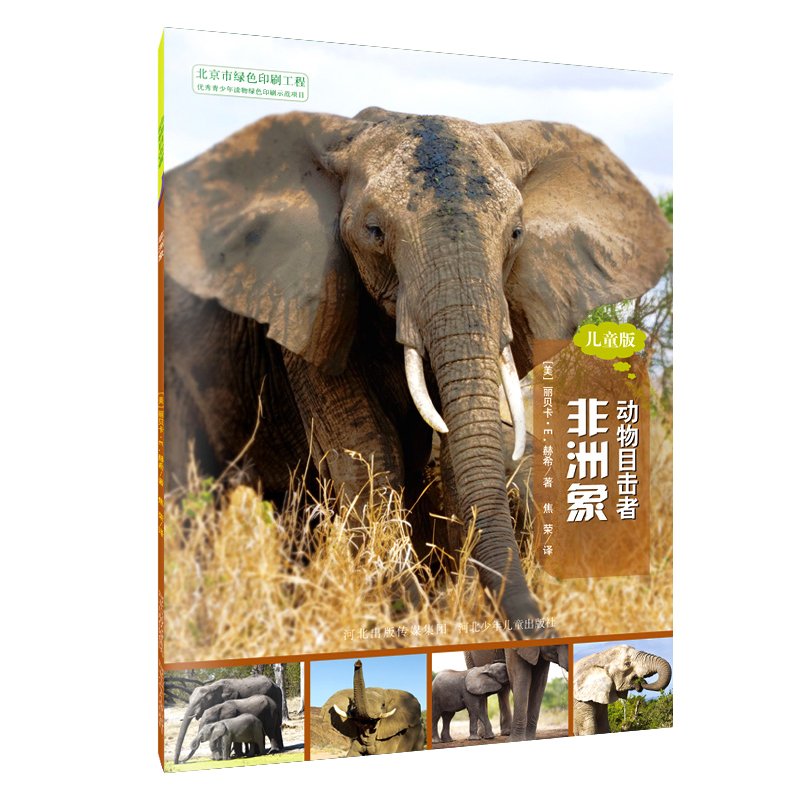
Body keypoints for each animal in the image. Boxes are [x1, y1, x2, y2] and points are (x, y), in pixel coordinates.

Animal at [164, 106, 672, 631]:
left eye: (516, 234)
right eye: (374, 232)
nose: (547, 633)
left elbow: (445, 455)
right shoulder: (313, 301)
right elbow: (365, 451)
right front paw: (410, 623)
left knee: (297, 517)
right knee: (195, 499)